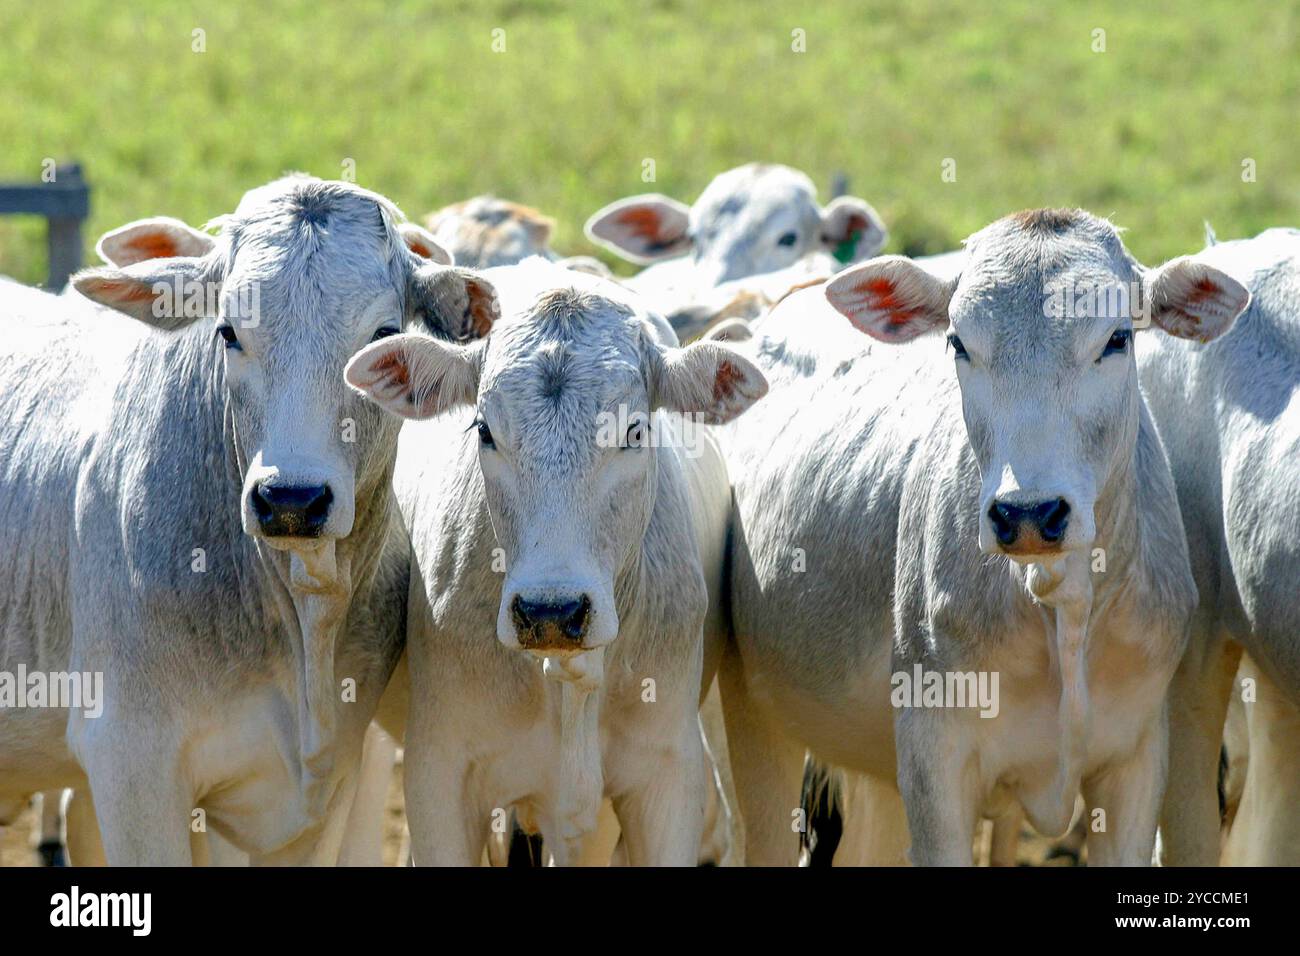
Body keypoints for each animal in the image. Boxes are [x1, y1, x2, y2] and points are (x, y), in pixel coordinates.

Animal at [715, 208, 1249, 865]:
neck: (1061, 605)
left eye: (1117, 338)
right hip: (753, 730)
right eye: (958, 342)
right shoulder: (936, 767)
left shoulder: (1138, 762)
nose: (1029, 512)